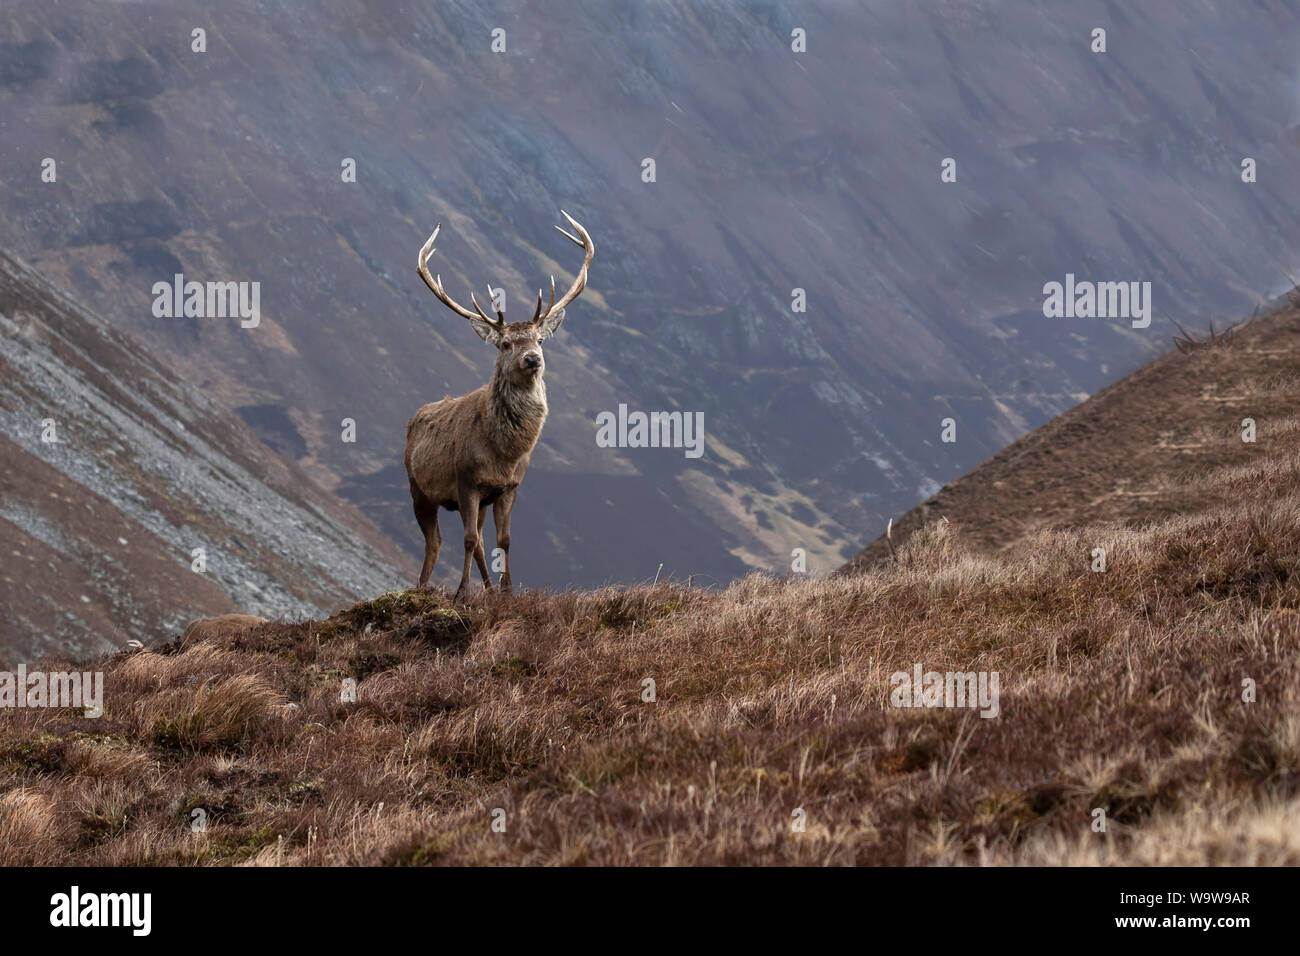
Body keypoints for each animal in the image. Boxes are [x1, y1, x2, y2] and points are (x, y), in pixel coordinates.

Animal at [404, 211, 594, 601]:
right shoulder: (465, 481)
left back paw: (488, 590)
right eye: (506, 343)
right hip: (418, 487)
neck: (503, 453)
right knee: (437, 541)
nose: (532, 358)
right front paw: (461, 592)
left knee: (475, 540)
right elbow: (466, 539)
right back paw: (422, 588)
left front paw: (507, 593)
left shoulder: (508, 487)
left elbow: (502, 540)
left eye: (539, 339)